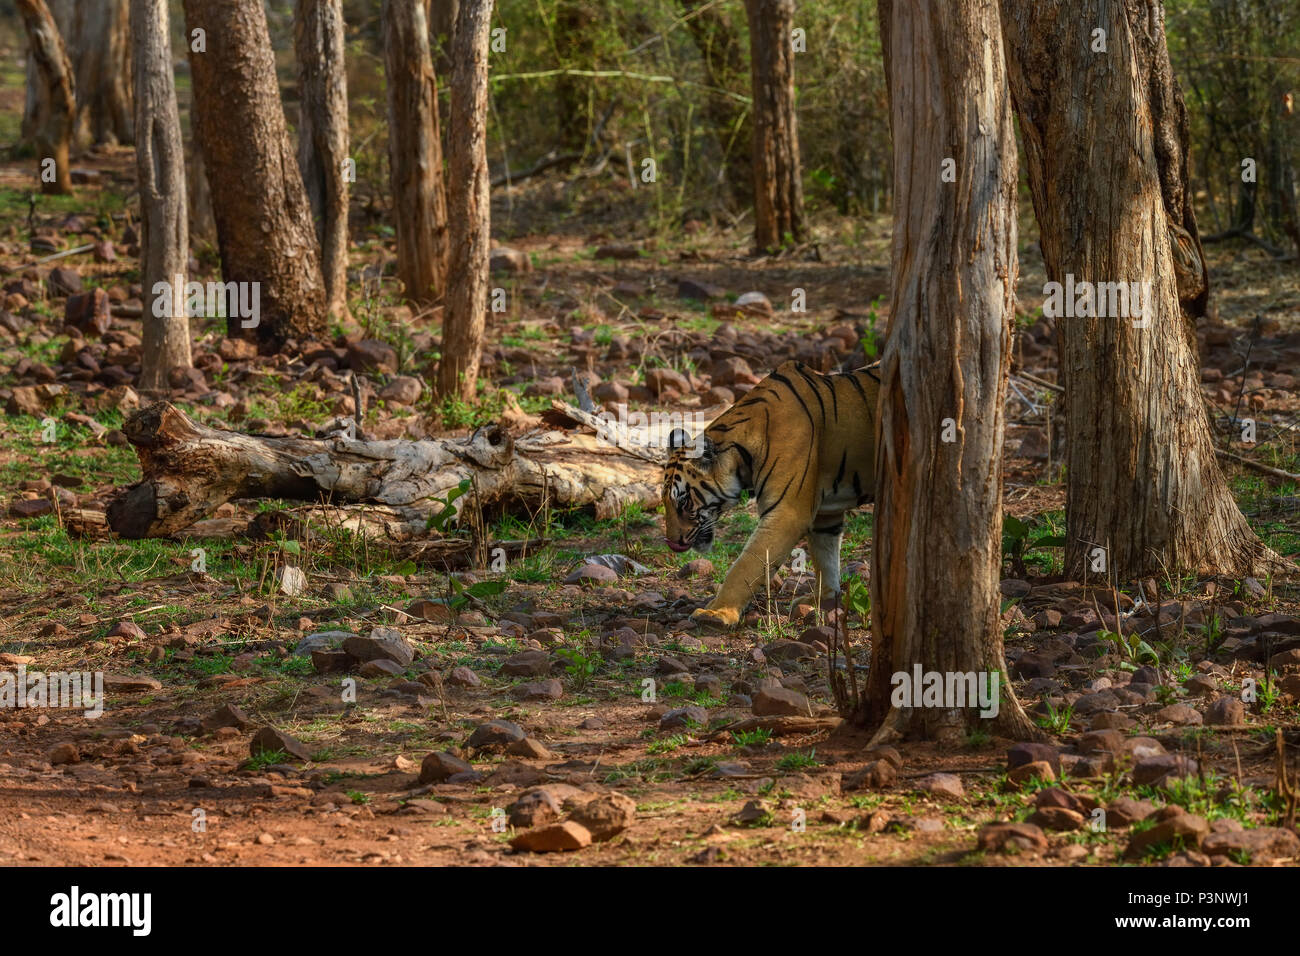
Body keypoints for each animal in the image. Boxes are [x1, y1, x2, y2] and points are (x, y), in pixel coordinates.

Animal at [662, 360, 880, 629]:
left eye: (683, 502)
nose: (671, 542)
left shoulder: (787, 513)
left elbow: (746, 565)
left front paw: (716, 613)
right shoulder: (825, 515)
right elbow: (825, 557)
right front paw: (824, 599)